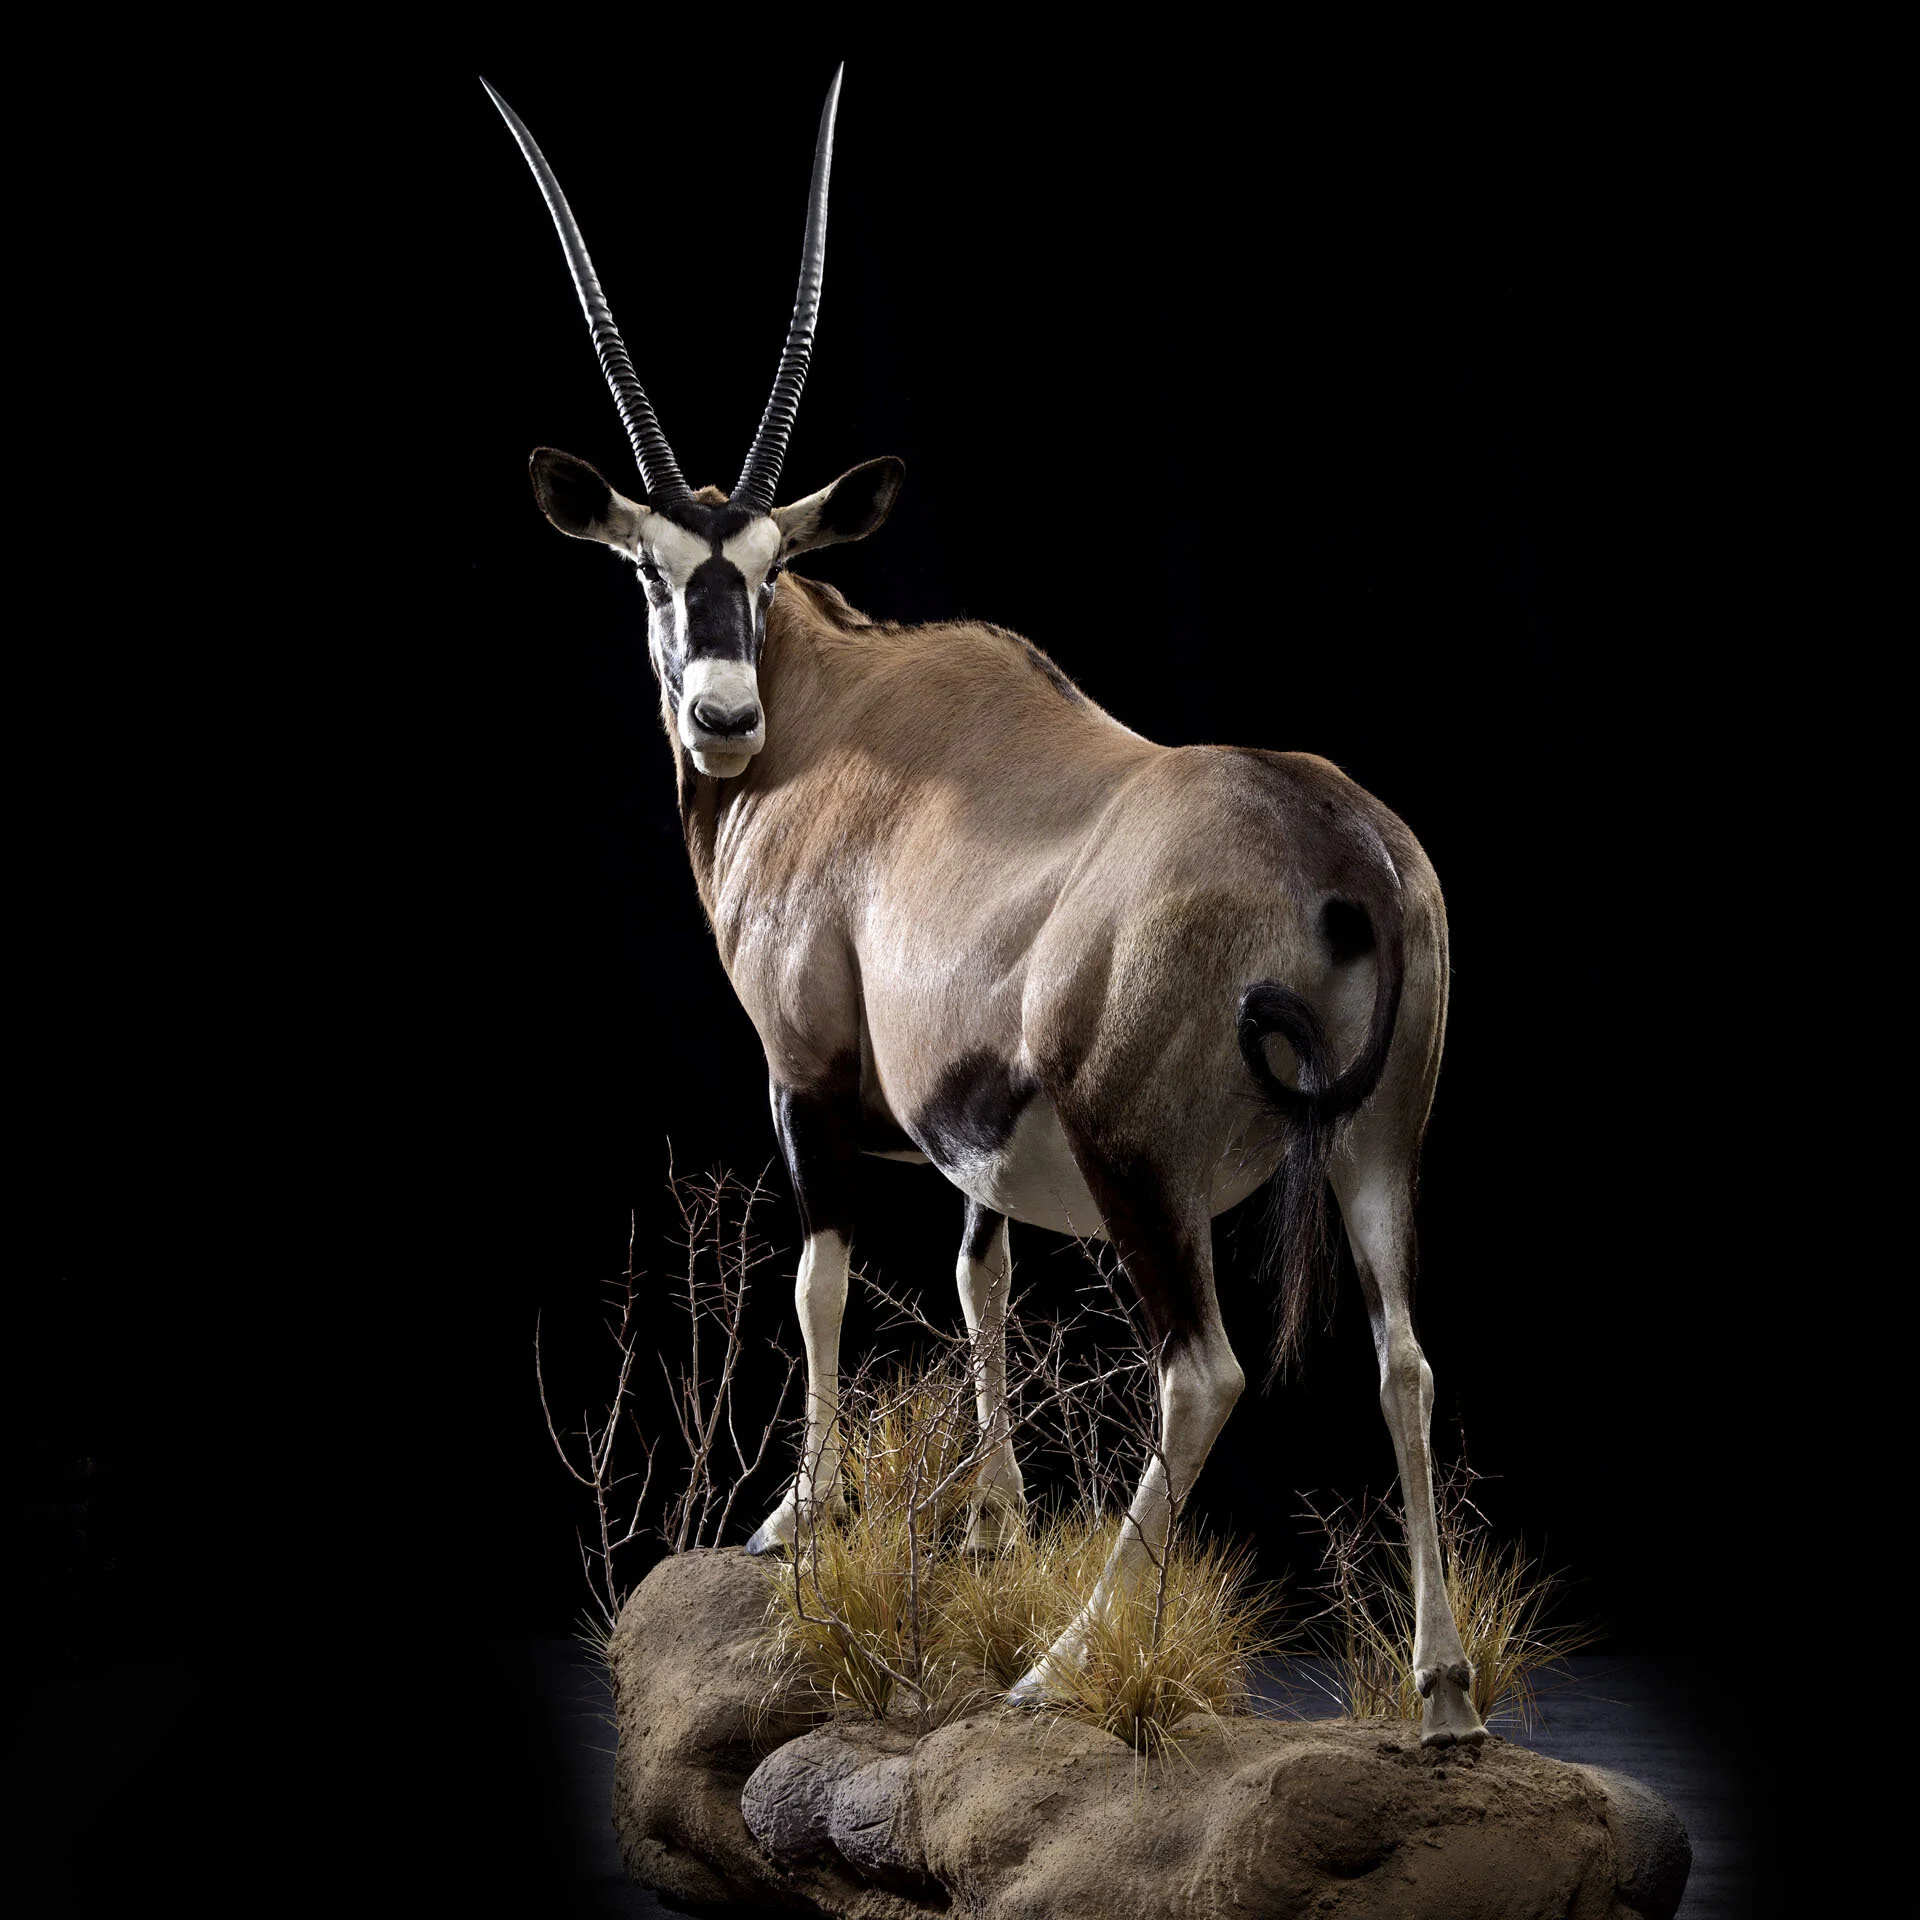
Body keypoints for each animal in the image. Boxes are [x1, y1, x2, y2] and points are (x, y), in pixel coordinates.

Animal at [484, 68, 1488, 1746]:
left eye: (765, 568)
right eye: (652, 571)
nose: (721, 719)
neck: (841, 716)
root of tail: (1334, 838)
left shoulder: (806, 1073)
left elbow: (822, 1273)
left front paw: (799, 1517)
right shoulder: (970, 1122)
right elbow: (983, 1275)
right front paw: (993, 1532)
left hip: (1145, 1159)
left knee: (1203, 1374)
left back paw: (1057, 1670)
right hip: (1379, 1142)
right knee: (1403, 1357)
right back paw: (1447, 1690)